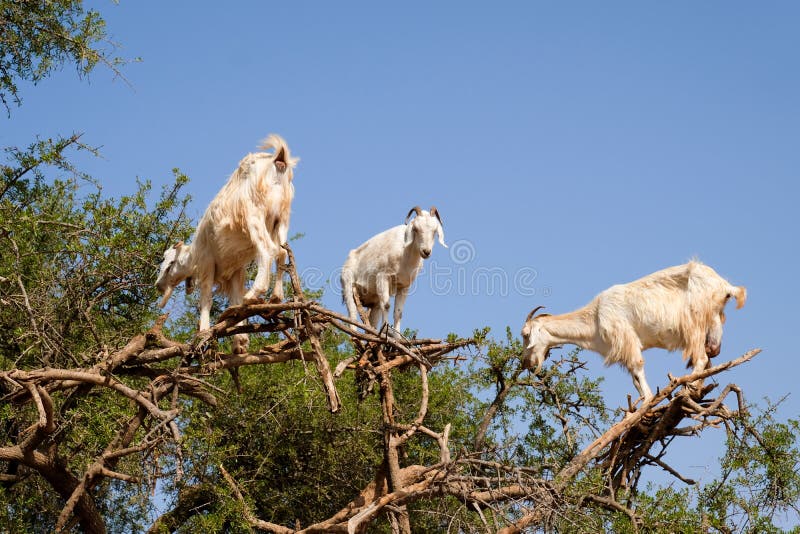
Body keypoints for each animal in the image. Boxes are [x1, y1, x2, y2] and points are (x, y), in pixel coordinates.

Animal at [155, 135, 299, 352]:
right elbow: (235, 296)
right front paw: (240, 342)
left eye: (170, 263)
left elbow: (206, 299)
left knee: (268, 249)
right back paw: (275, 297)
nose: (158, 286)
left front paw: (202, 333)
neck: (194, 252)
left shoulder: (207, 264)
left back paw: (254, 294)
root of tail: (278, 159)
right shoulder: (235, 270)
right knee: (282, 252)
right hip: (281, 219)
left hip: (254, 214)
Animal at [341, 206, 447, 334]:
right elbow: (386, 305)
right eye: (415, 229)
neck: (405, 254)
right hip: (348, 287)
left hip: (374, 301)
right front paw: (385, 331)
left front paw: (397, 337)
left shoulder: (404, 286)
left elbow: (398, 313)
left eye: (435, 231)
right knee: (352, 314)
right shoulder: (383, 276)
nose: (426, 251)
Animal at [520, 261, 746, 401]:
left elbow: (638, 368)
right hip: (714, 321)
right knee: (711, 355)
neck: (595, 317)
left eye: (525, 335)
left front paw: (647, 402)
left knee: (701, 358)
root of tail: (726, 286)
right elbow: (634, 379)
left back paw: (686, 389)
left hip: (694, 324)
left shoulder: (626, 339)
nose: (526, 363)